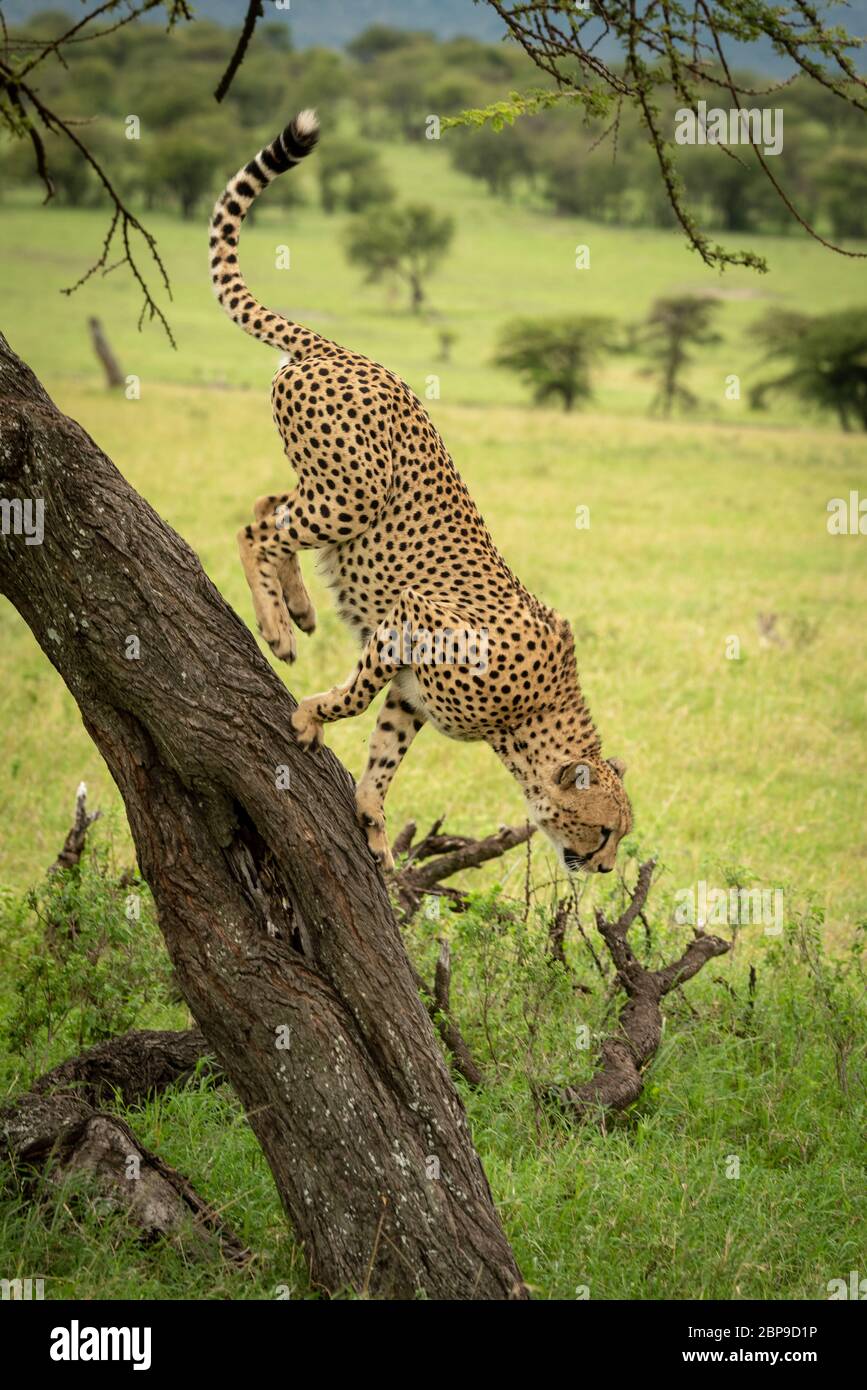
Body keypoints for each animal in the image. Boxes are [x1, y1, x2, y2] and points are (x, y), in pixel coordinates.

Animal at [208, 110, 633, 874]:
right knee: (258, 528)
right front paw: (309, 715)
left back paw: (300, 607)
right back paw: (278, 629)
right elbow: (353, 699)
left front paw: (373, 823)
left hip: (331, 487)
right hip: (353, 492)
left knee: (266, 507)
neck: (528, 718)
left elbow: (384, 751)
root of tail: (346, 353)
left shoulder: (411, 693)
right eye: (604, 828)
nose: (606, 866)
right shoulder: (407, 626)